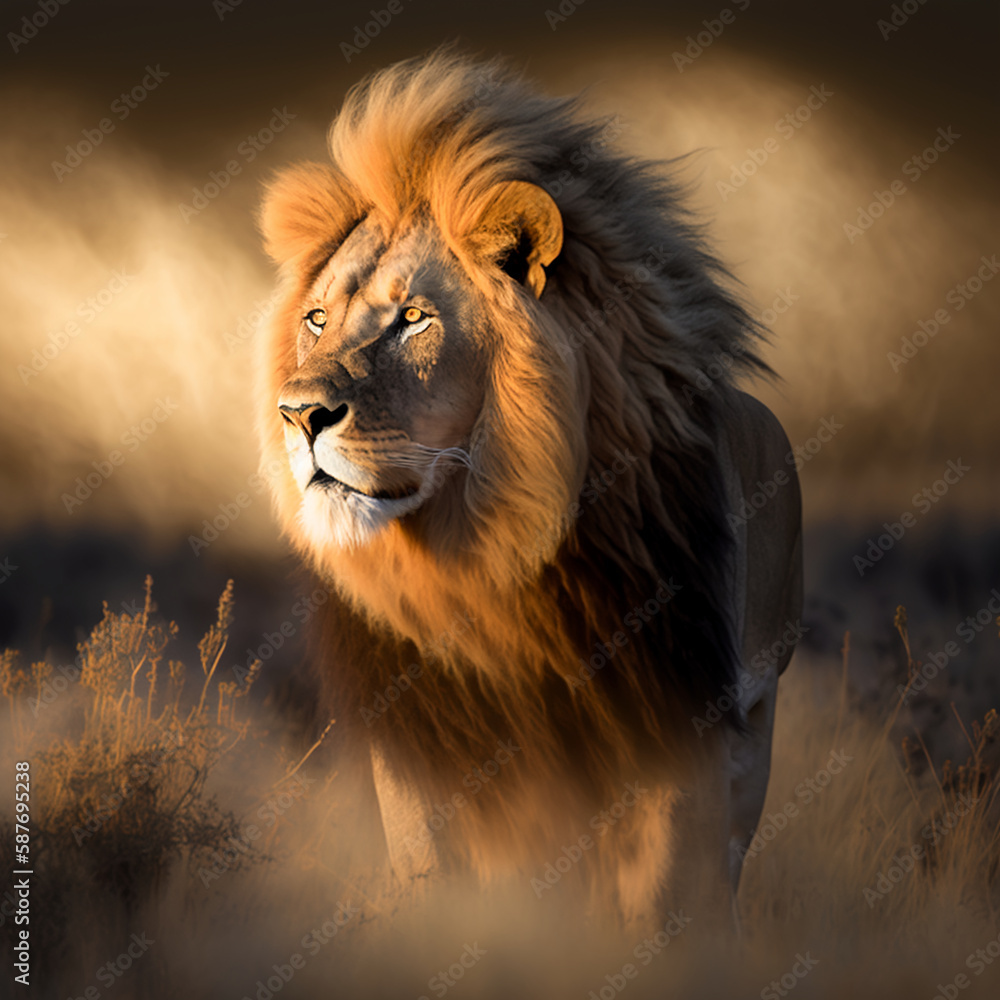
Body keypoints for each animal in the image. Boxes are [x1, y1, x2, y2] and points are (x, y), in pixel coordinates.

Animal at [255, 51, 802, 935]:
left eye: (414, 318)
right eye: (315, 319)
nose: (298, 414)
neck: (484, 558)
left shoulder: (677, 719)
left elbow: (665, 899)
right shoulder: (426, 742)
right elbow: (439, 882)